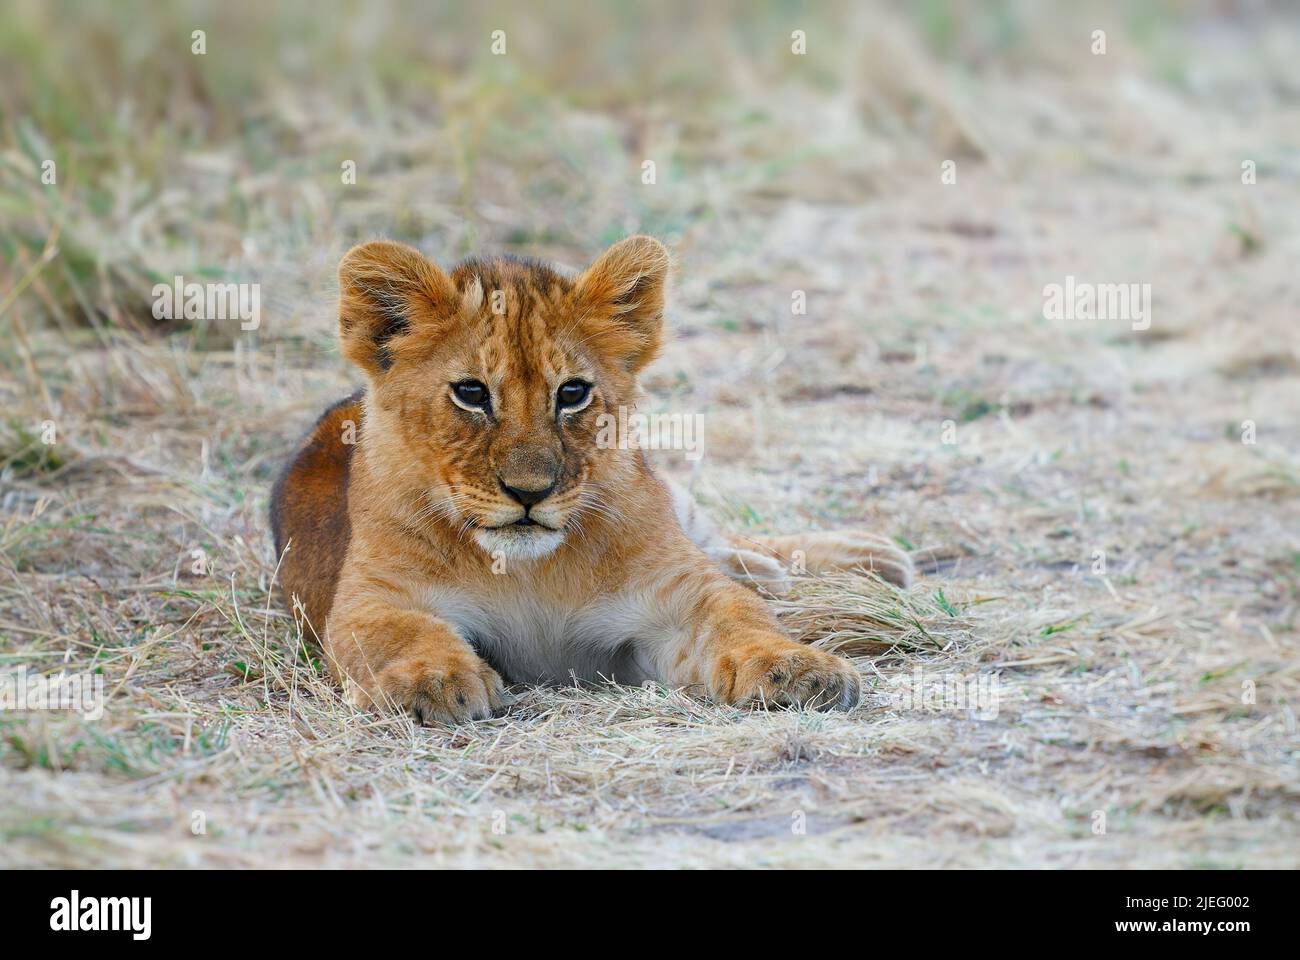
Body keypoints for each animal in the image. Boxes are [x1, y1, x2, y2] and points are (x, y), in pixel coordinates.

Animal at [270, 236, 913, 723]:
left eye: (573, 392)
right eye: (471, 393)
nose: (529, 493)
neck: (526, 572)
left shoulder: (677, 595)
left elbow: (739, 615)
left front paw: (799, 668)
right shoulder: (371, 598)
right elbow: (399, 633)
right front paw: (433, 681)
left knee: (725, 539)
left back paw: (862, 558)